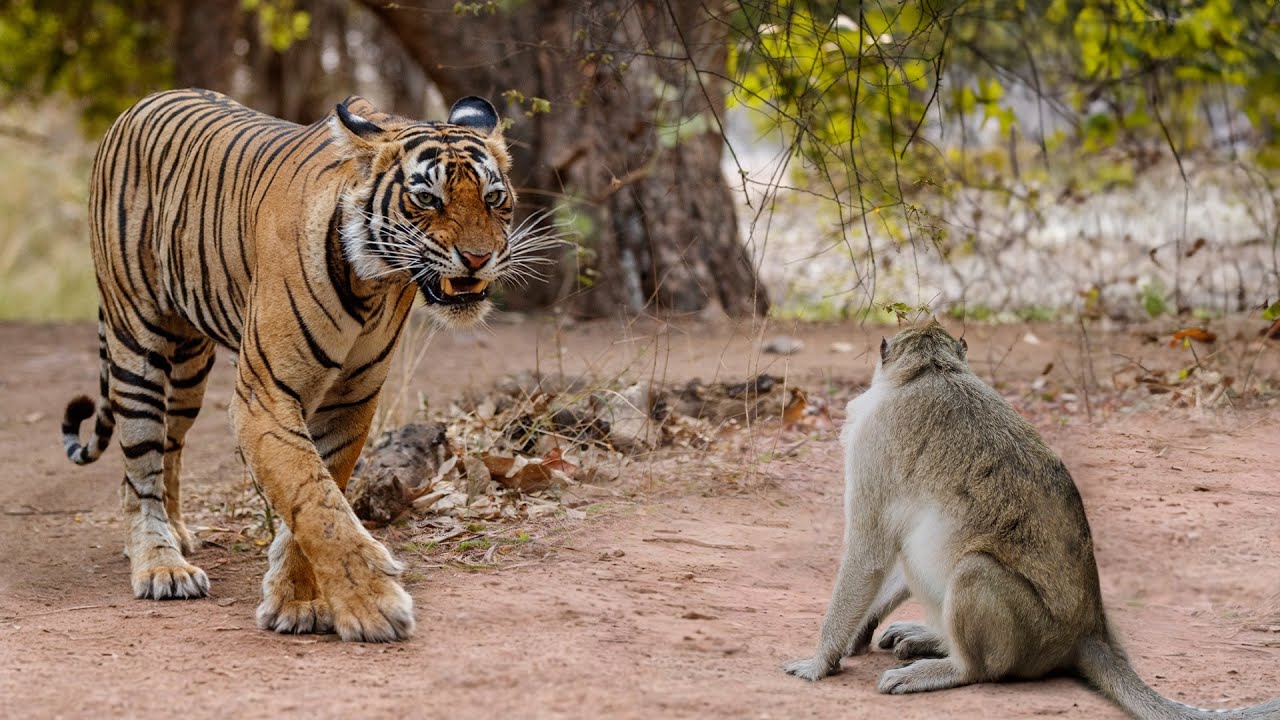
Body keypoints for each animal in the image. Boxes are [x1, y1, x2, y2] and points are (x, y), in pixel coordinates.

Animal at [59, 88, 546, 642]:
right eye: (427, 199)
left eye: (494, 197)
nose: (479, 258)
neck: (373, 283)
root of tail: (142, 102)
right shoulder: (264, 396)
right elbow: (313, 500)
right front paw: (374, 606)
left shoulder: (351, 400)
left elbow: (319, 489)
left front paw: (298, 600)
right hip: (138, 341)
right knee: (140, 460)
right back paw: (161, 565)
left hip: (188, 368)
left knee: (169, 448)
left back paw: (177, 534)